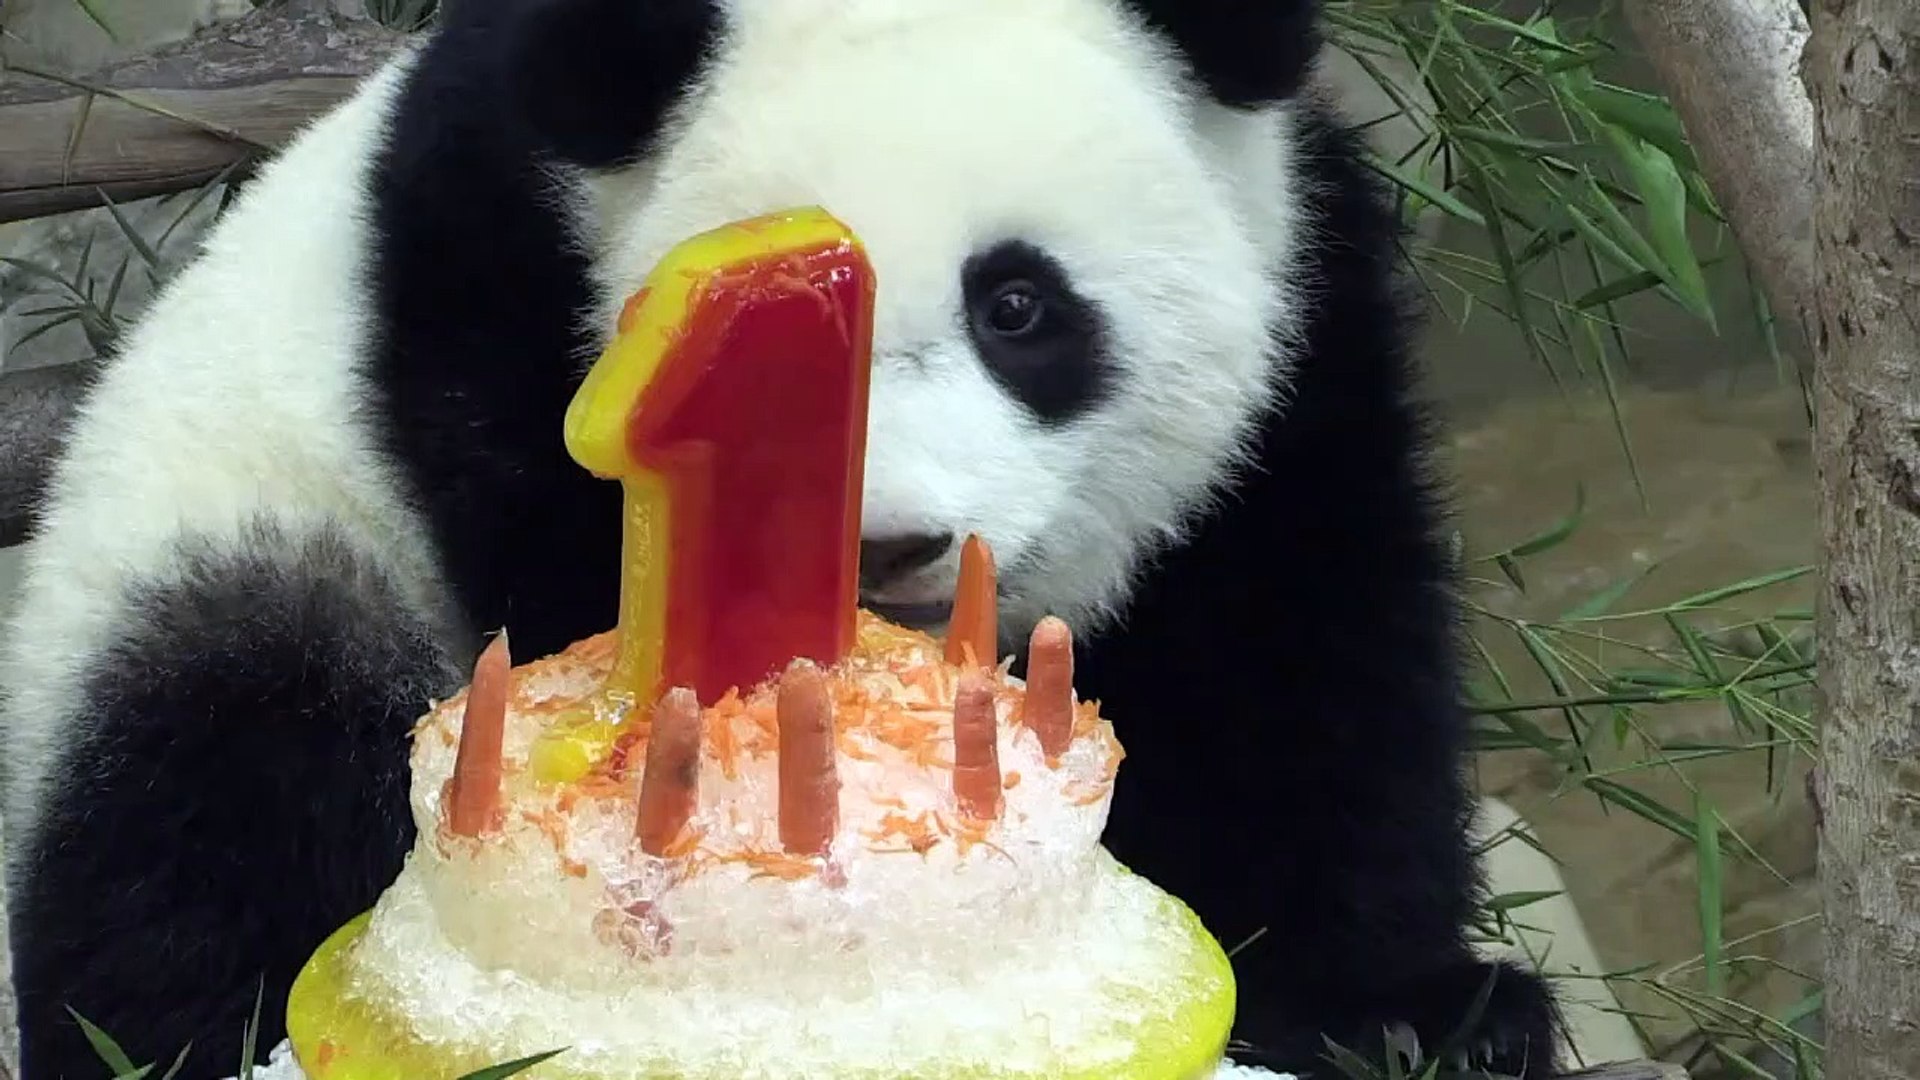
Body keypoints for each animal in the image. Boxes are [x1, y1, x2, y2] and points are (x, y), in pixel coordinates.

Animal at [0, 1, 1562, 1077]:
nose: (893, 551)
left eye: (1018, 306)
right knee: (213, 782)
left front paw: (1415, 1015)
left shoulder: (1308, 321)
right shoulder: (493, 293)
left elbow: (1306, 660)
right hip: (225, 548)